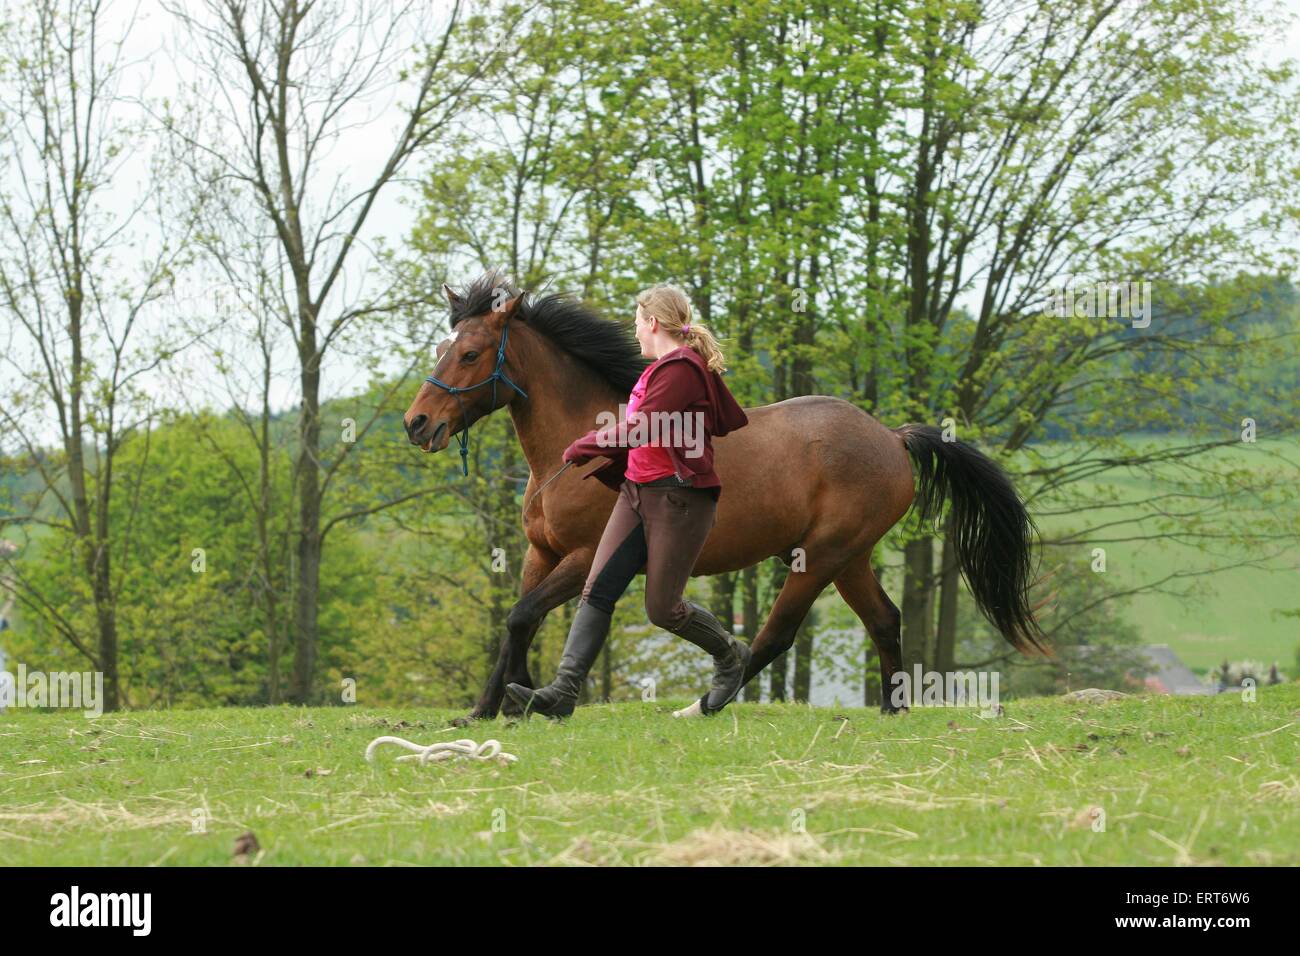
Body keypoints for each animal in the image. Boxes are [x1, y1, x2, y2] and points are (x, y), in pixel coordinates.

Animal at [402, 272, 1049, 723]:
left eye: (469, 354)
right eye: (442, 349)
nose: (416, 423)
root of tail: (891, 437)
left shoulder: (587, 557)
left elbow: (522, 615)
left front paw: (522, 701)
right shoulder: (541, 554)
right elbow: (519, 621)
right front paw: (489, 707)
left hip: (820, 557)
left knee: (774, 635)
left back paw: (705, 703)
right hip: (851, 558)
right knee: (884, 620)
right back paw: (893, 709)